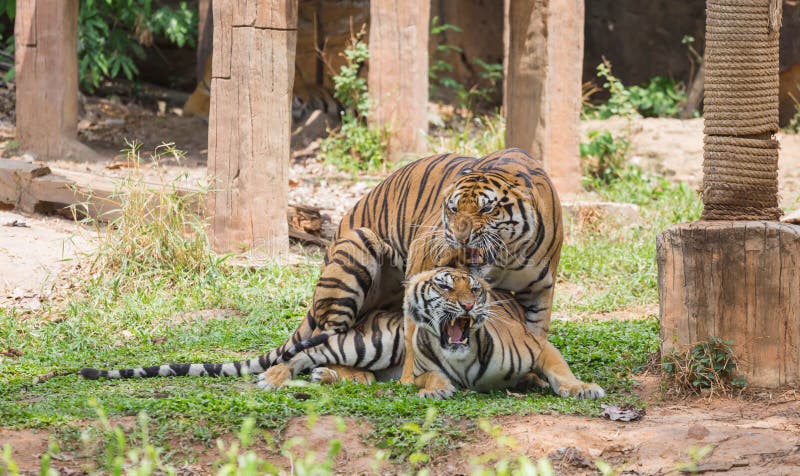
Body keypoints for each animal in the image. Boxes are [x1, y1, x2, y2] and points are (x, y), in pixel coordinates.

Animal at [81, 268, 604, 401]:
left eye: (474, 288)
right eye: (443, 285)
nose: (470, 306)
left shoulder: (537, 345)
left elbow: (560, 370)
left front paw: (583, 388)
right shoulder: (419, 364)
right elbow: (429, 378)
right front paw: (437, 390)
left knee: (359, 376)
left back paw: (328, 379)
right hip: (366, 341)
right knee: (298, 357)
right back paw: (275, 379)